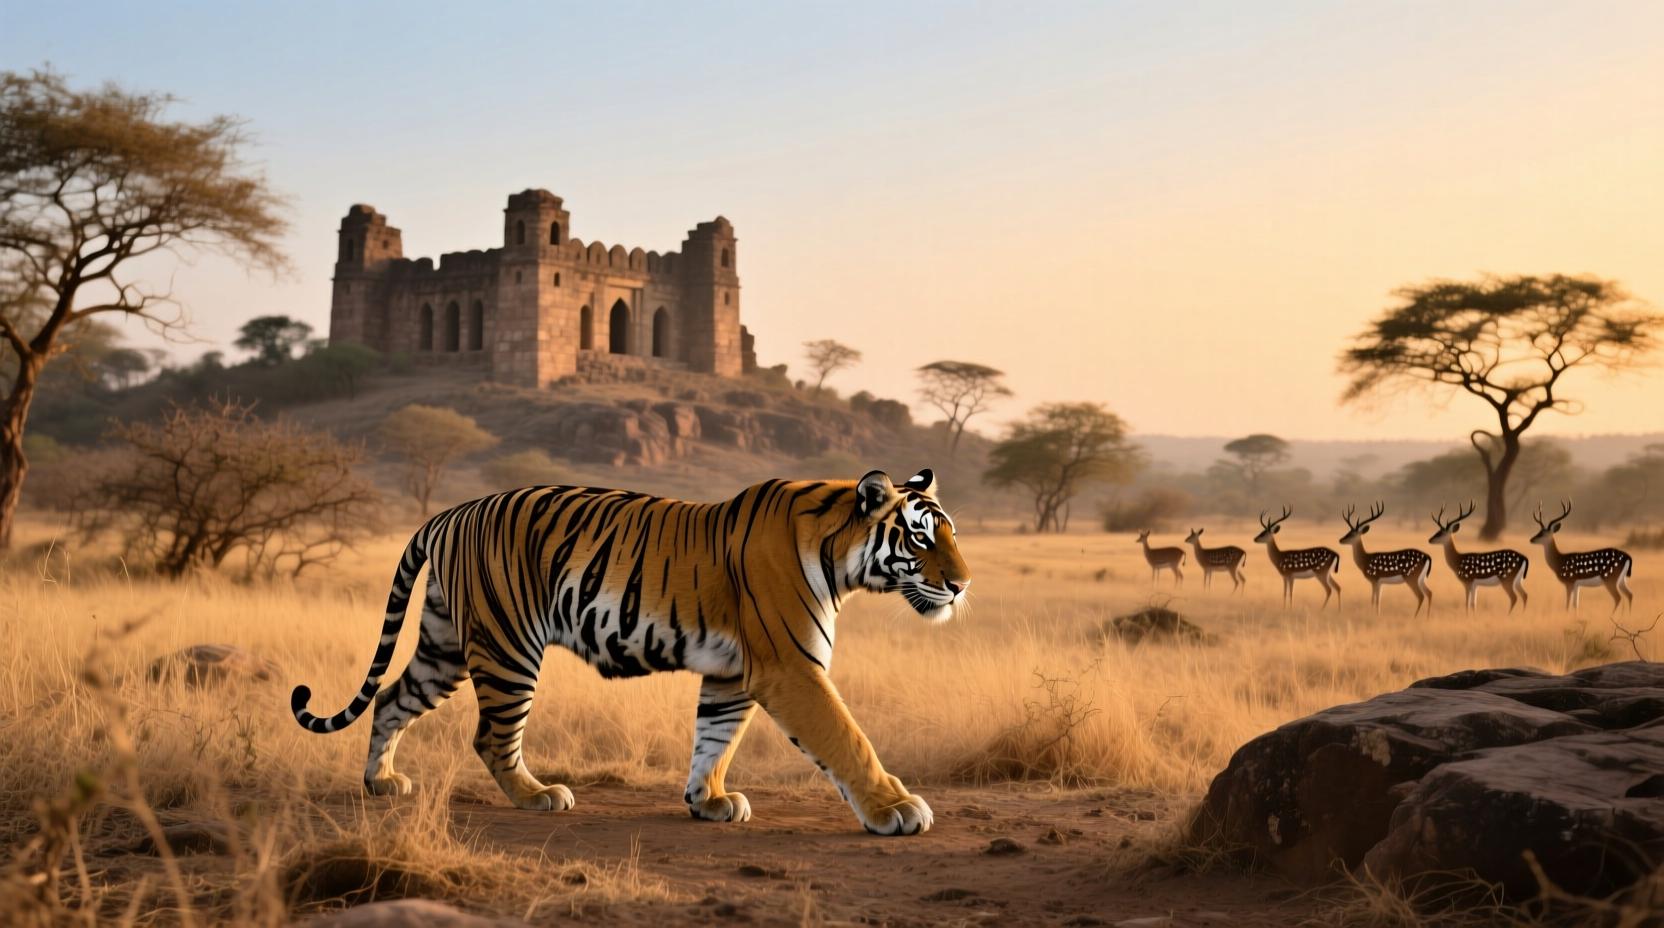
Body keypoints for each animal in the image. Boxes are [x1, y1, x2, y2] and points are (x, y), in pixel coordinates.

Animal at [290, 468, 970, 835]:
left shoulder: (733, 673)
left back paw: (381, 783)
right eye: (920, 538)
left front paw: (708, 801)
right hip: (508, 645)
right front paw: (896, 809)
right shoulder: (790, 668)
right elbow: (847, 738)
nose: (963, 585)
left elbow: (715, 739)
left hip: (445, 646)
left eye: (953, 535)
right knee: (489, 736)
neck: (841, 557)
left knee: (389, 700)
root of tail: (449, 512)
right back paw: (538, 795)